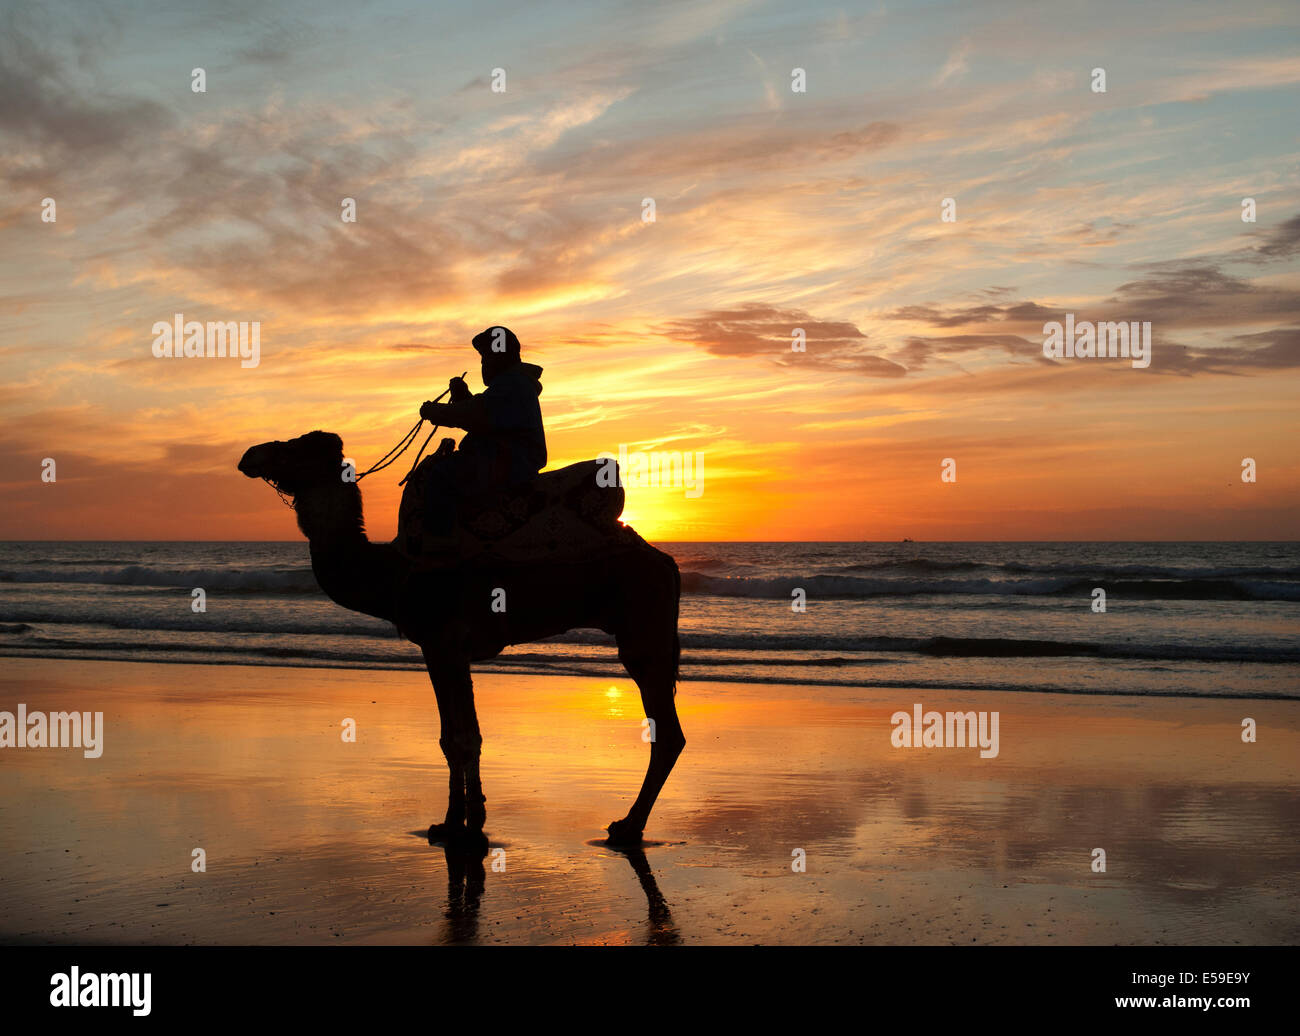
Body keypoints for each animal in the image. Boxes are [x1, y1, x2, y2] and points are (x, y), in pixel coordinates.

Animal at [238, 430, 684, 848]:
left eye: (296, 447)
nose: (250, 455)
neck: (390, 572)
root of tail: (666, 561)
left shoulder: (442, 642)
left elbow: (458, 738)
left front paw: (460, 827)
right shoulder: (449, 650)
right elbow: (462, 735)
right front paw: (464, 822)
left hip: (643, 631)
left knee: (667, 733)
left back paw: (627, 827)